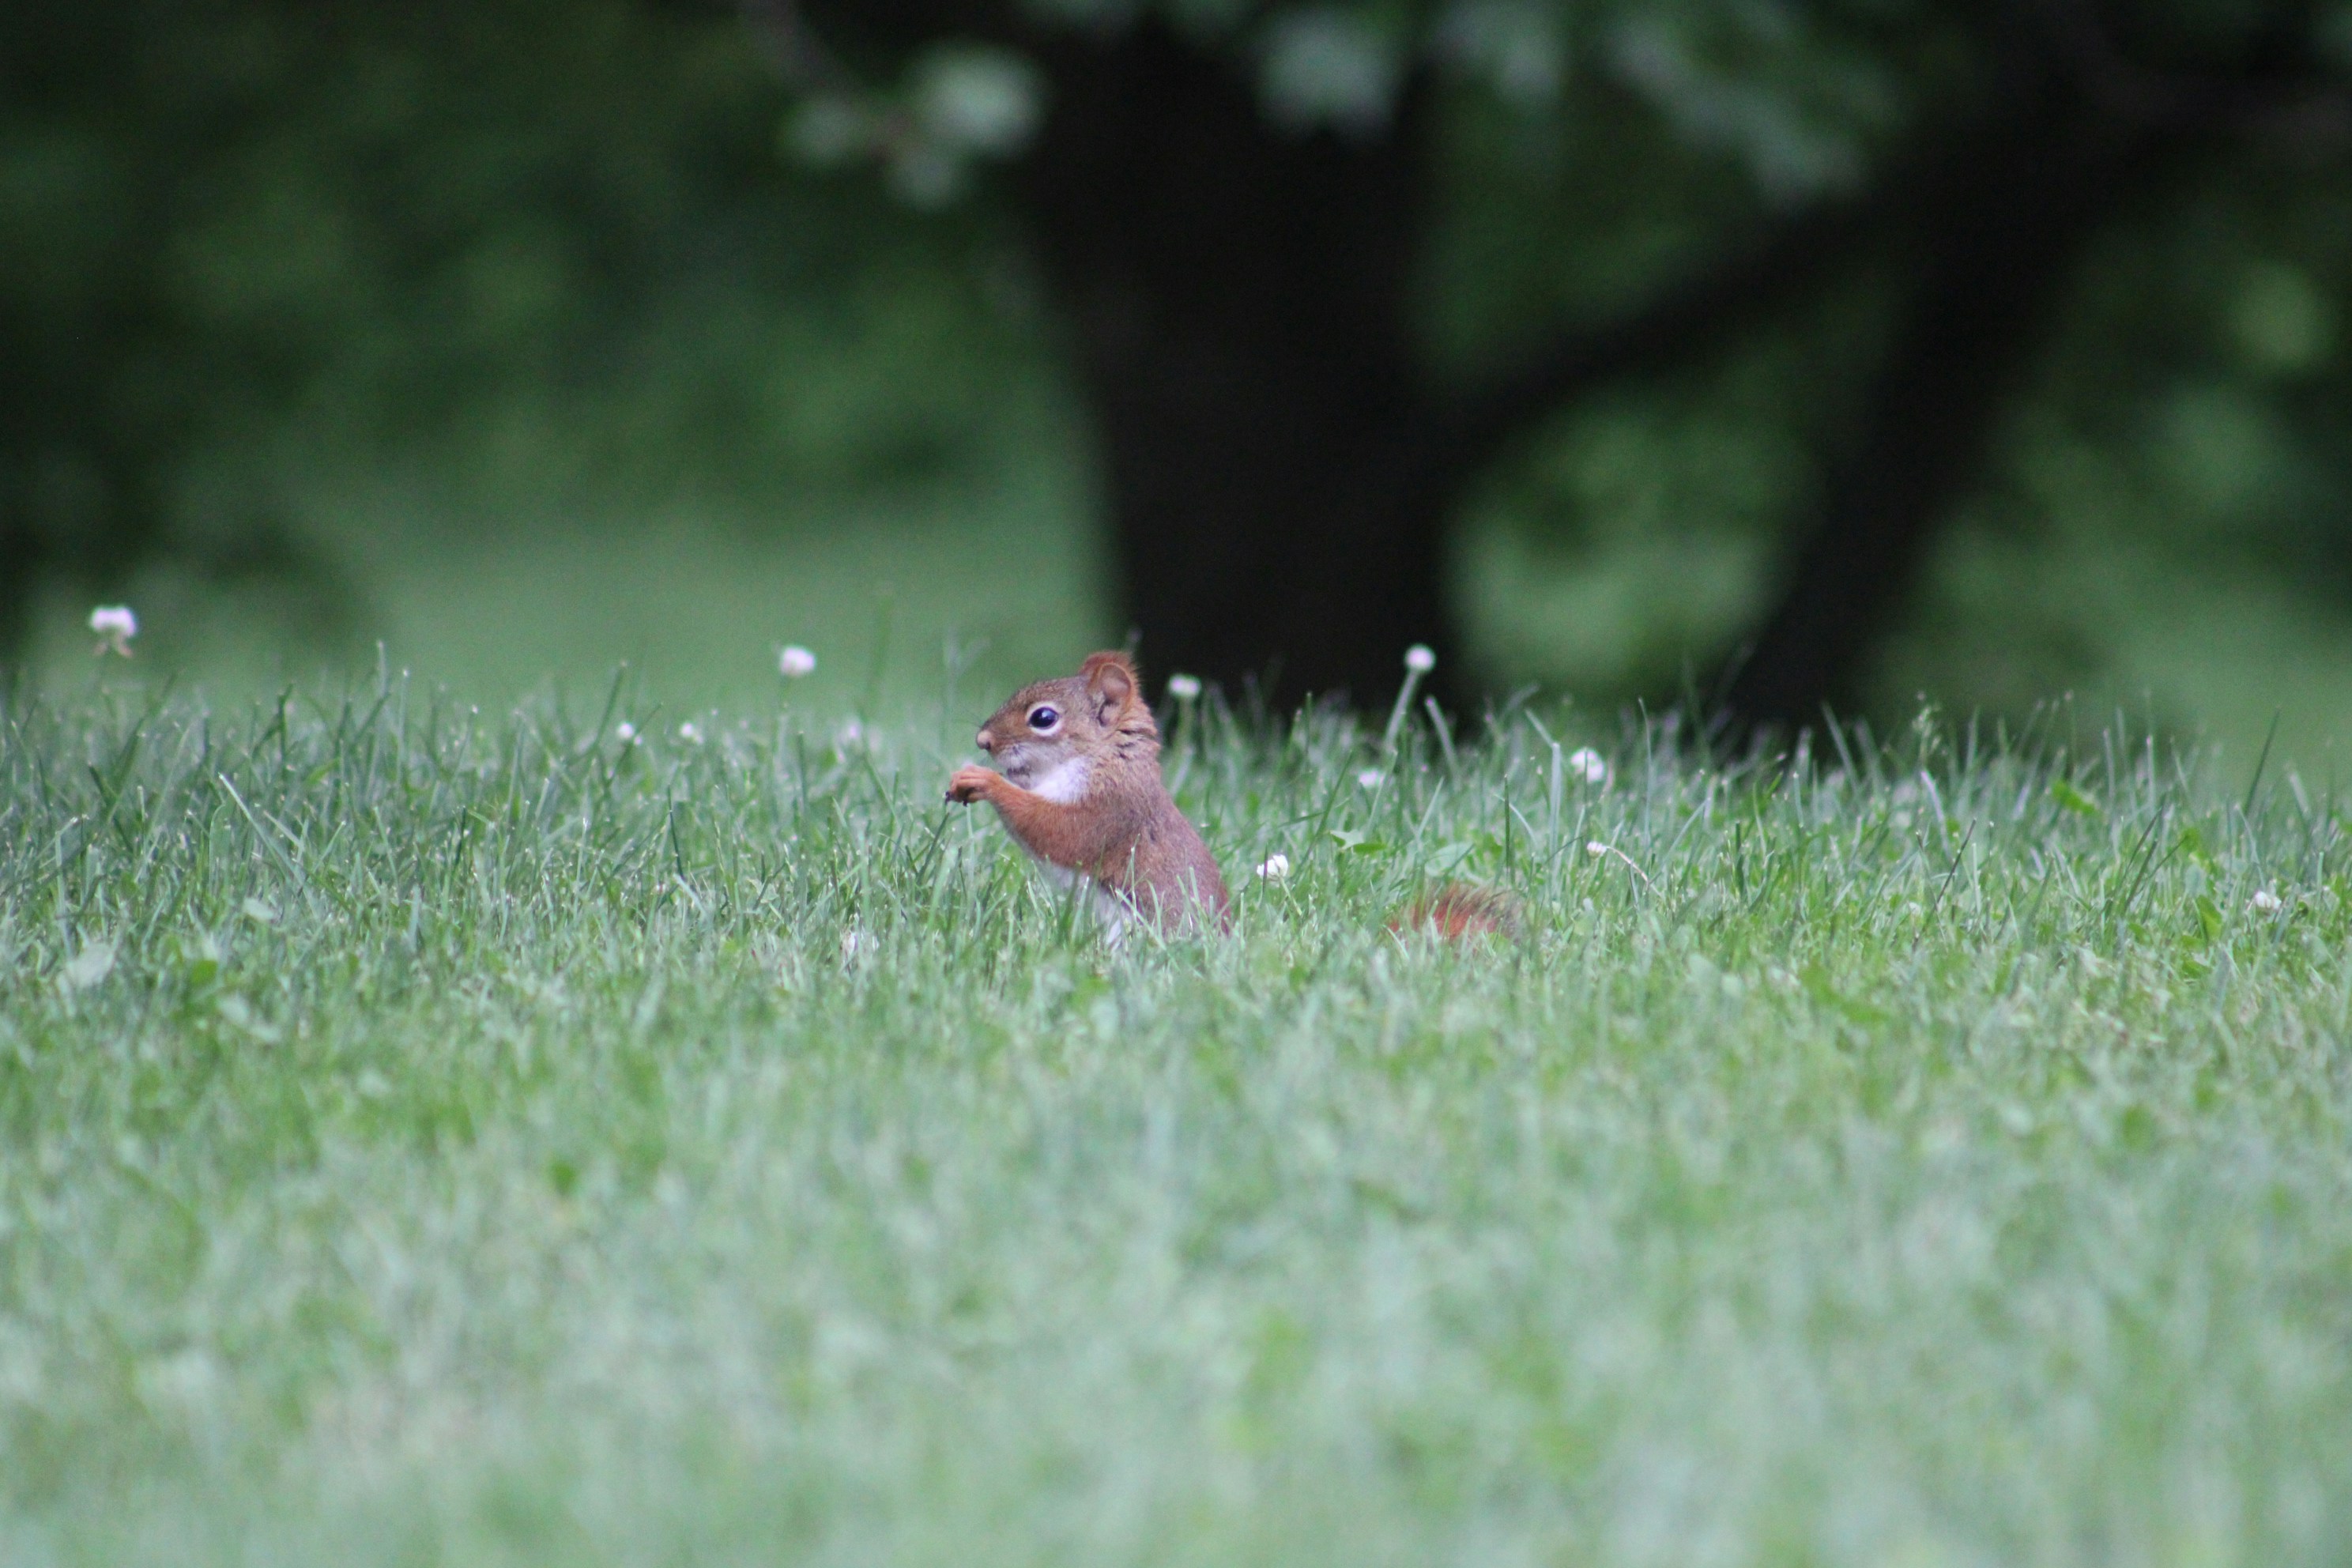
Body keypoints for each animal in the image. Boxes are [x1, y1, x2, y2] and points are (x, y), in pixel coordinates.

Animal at [945, 651, 1517, 941]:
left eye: (1043, 718)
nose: (984, 741)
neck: (1100, 759)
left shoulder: (1110, 813)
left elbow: (1055, 831)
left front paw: (985, 781)